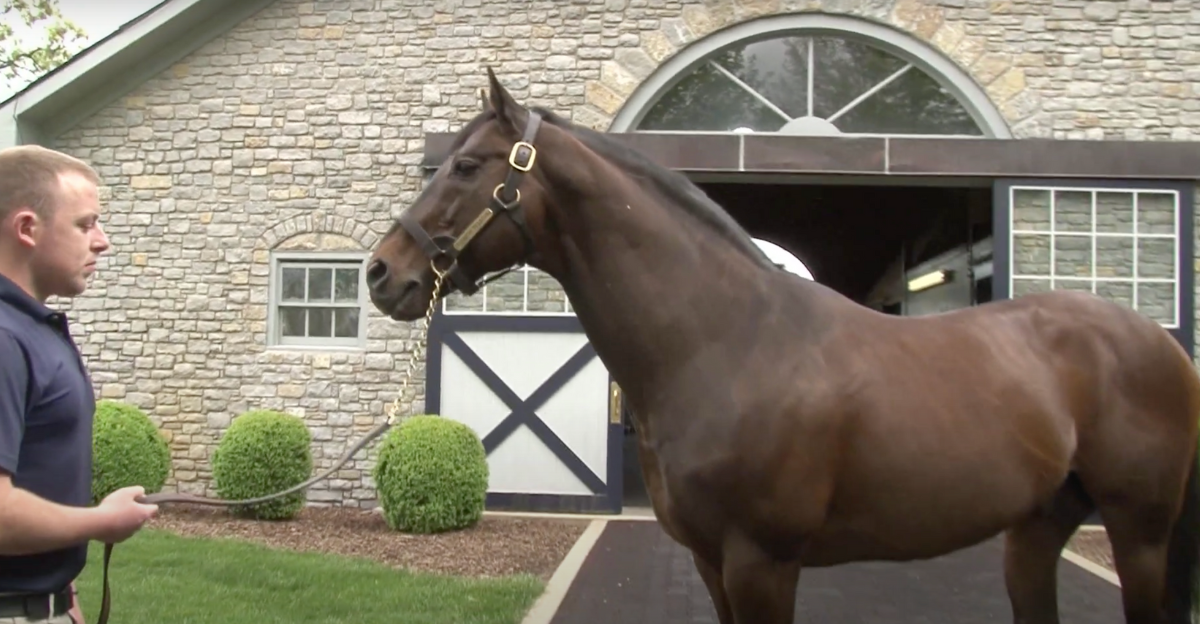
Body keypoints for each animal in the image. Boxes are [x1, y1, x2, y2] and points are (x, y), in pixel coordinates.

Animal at [365, 68, 1200, 624]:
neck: (726, 344)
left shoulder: (762, 562)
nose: (381, 273)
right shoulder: (710, 559)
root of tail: (1159, 347)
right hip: (1036, 528)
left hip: (1140, 529)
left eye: (467, 166)